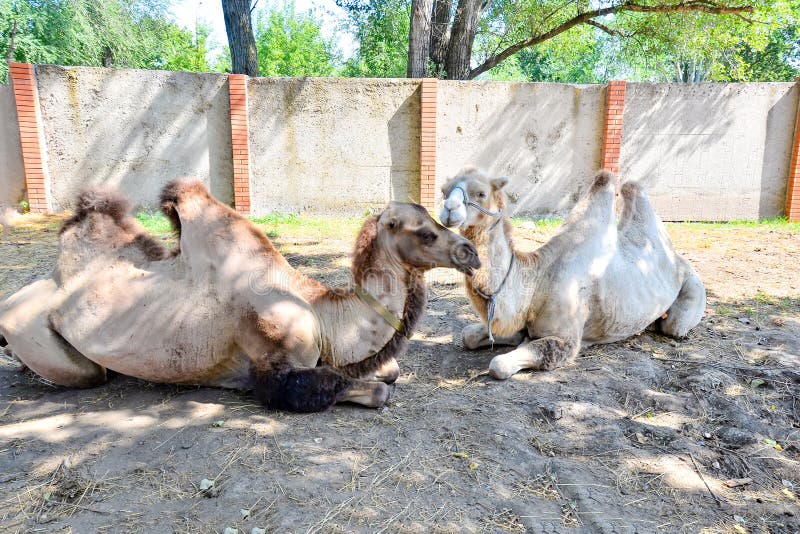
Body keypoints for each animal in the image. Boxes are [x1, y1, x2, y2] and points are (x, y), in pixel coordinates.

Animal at [0, 180, 480, 411]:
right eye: (424, 231)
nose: (469, 251)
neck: (323, 313)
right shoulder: (273, 368)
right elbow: (363, 389)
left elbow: (390, 372)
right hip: (49, 341)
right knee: (86, 373)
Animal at [439, 167, 706, 379]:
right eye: (444, 191)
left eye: (481, 193)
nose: (449, 210)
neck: (538, 281)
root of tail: (679, 259)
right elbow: (467, 335)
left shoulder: (566, 340)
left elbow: (499, 365)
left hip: (692, 285)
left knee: (674, 326)